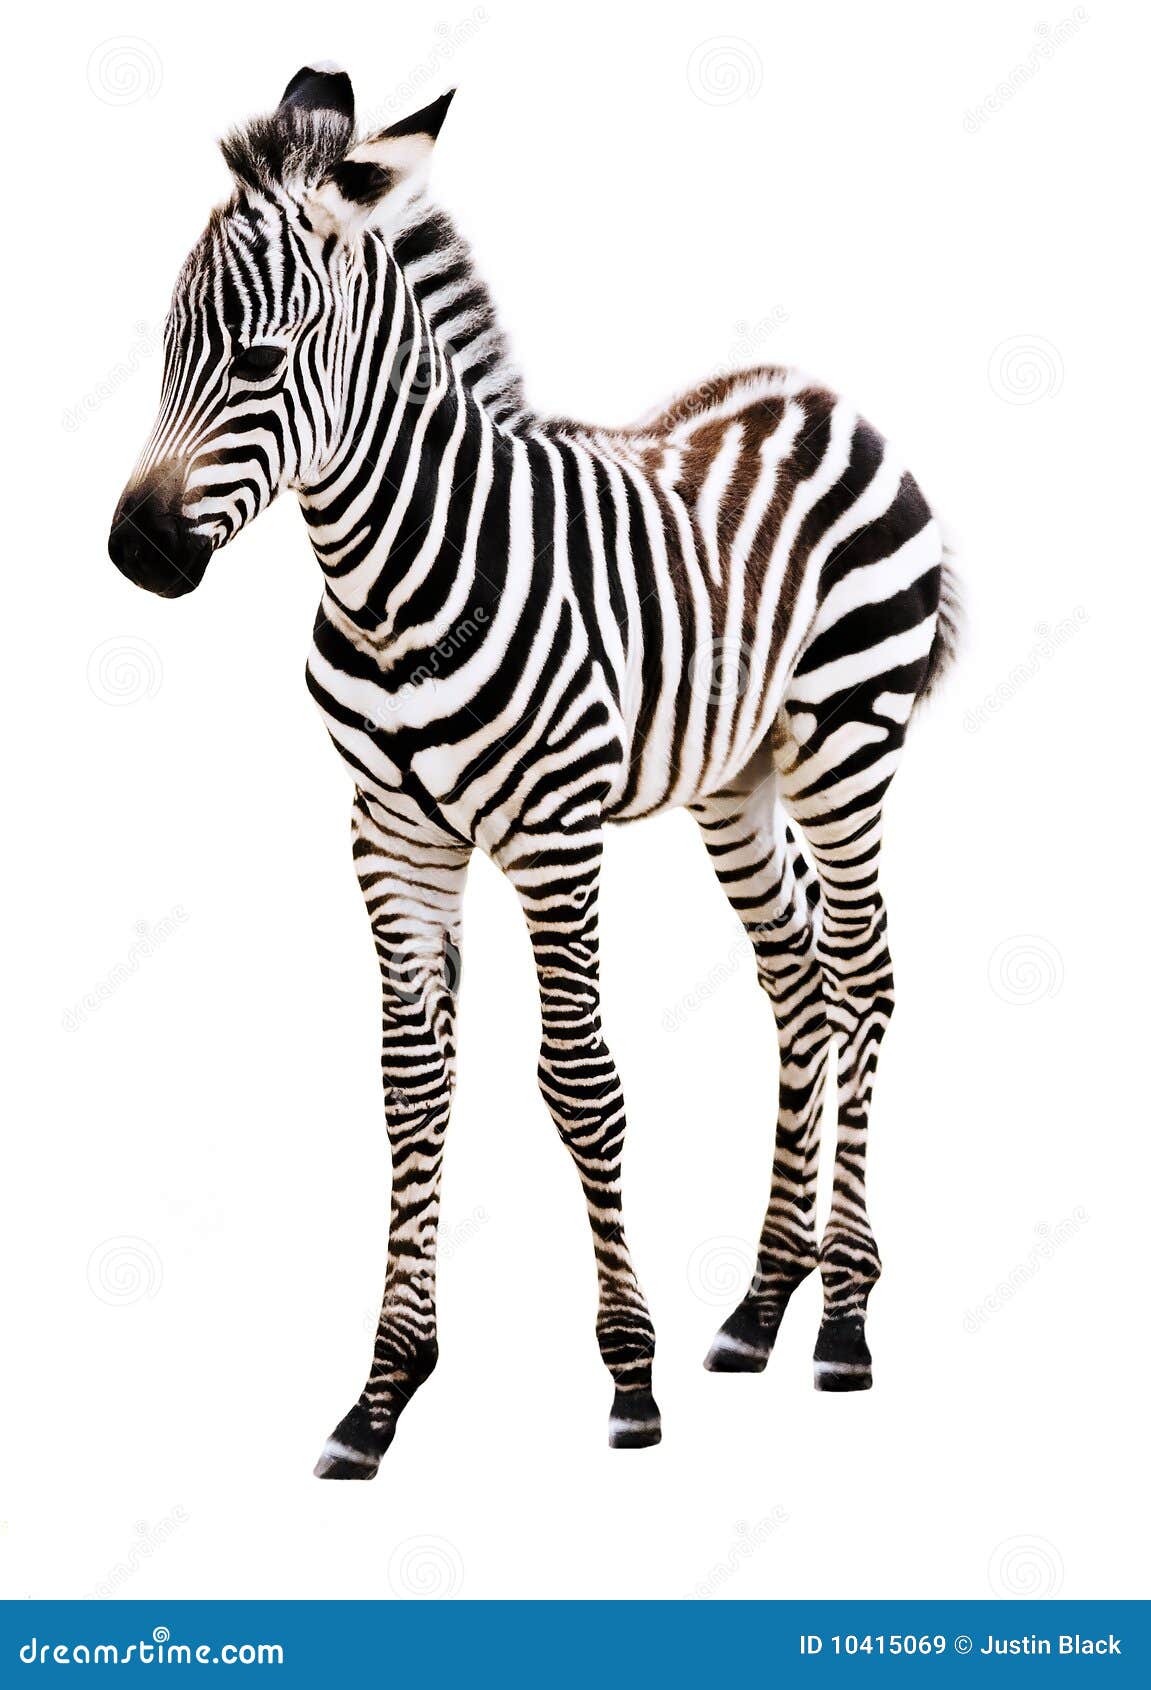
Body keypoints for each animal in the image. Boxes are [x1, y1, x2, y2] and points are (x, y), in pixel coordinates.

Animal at [108, 65, 960, 1478]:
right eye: (164, 349)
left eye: (259, 359)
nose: (135, 553)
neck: (392, 588)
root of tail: (815, 393)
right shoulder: (390, 837)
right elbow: (411, 1092)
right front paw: (380, 1395)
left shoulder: (554, 834)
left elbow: (581, 1089)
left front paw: (628, 1378)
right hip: (735, 778)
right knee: (795, 977)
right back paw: (761, 1302)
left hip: (846, 739)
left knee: (862, 976)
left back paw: (841, 1316)